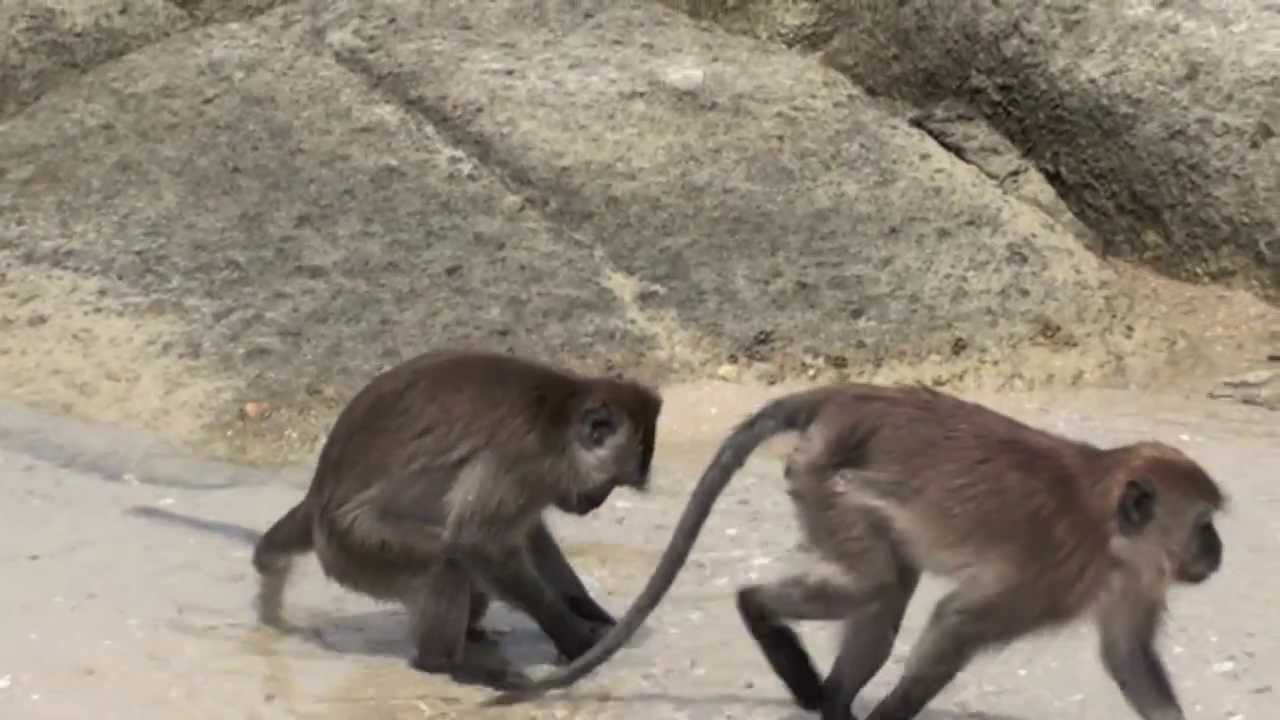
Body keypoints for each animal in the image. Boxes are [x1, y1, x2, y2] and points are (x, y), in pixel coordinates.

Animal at [250, 349, 663, 687]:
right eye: (609, 484)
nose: (595, 503)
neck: (556, 416)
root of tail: (316, 498)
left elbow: (525, 533)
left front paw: (588, 612)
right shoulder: (521, 457)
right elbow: (477, 542)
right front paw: (574, 638)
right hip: (350, 545)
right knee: (444, 560)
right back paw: (443, 664)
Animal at [490, 382, 1225, 720]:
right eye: (1203, 526)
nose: (1214, 552)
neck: (1110, 526)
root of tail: (844, 396)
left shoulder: (1134, 576)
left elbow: (1126, 655)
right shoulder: (1054, 568)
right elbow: (958, 621)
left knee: (888, 588)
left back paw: (834, 700)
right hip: (829, 482)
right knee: (877, 584)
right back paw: (762, 613)